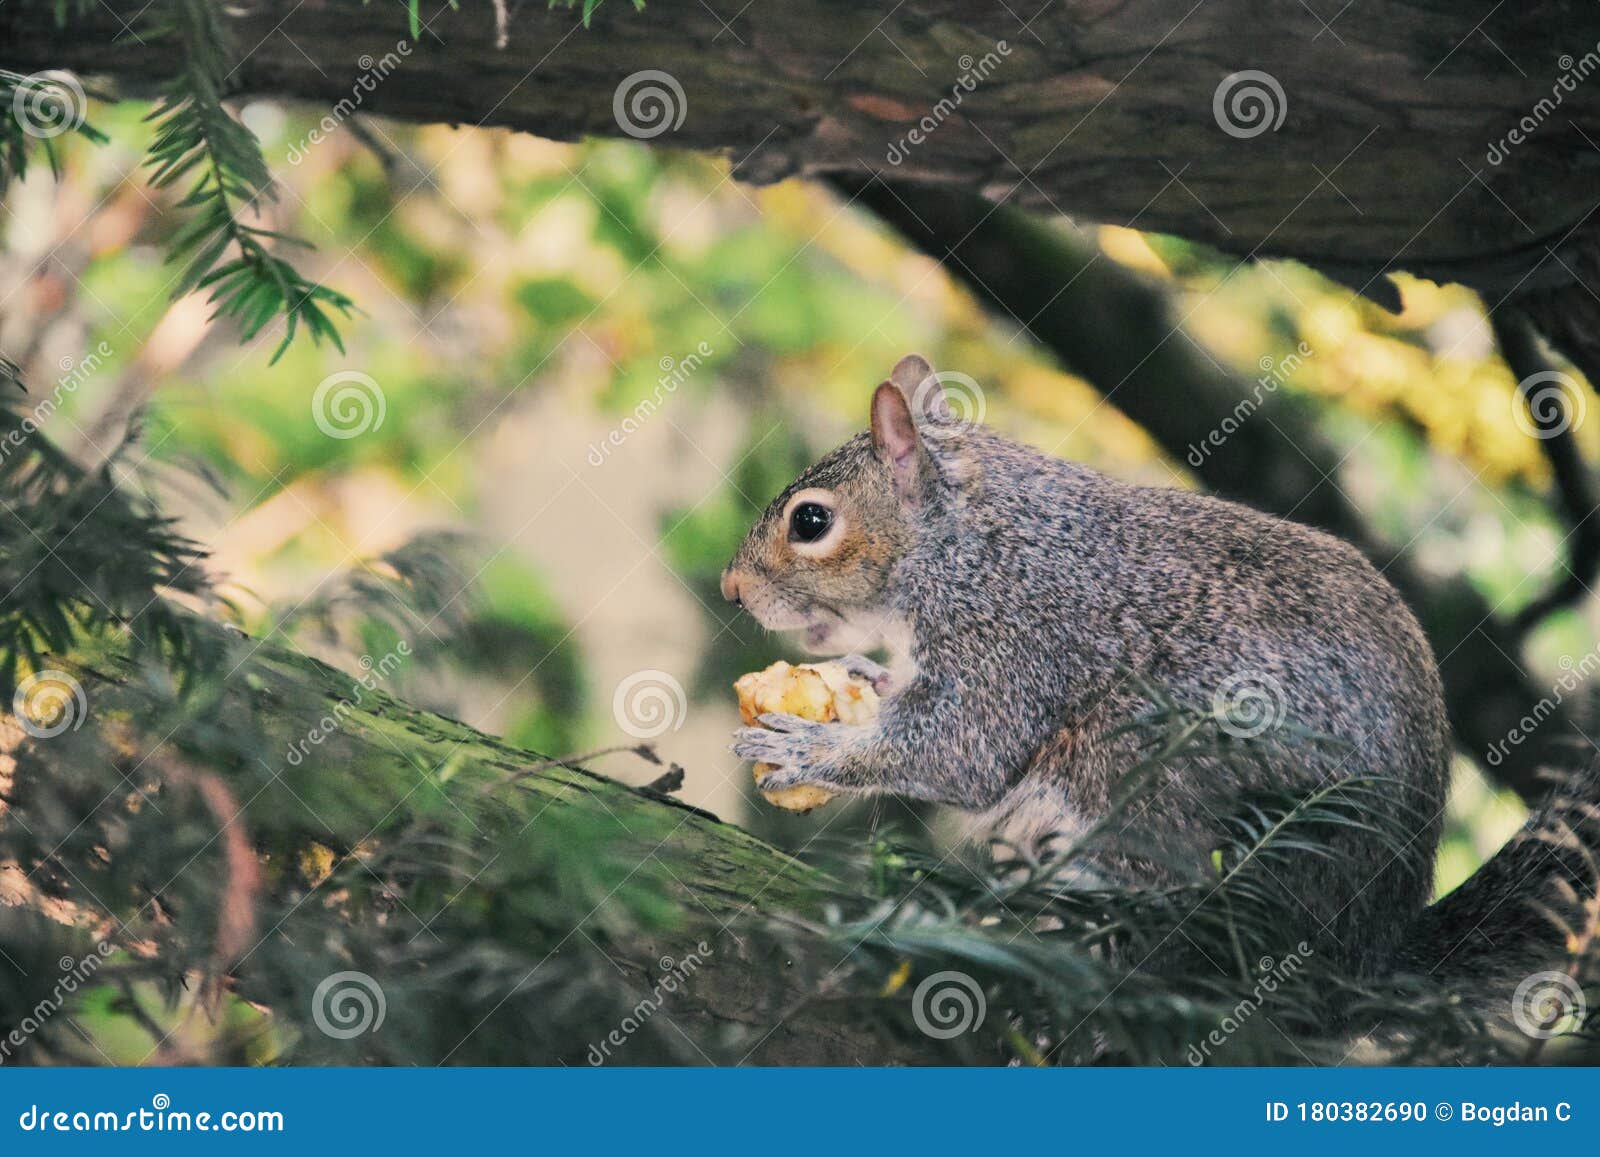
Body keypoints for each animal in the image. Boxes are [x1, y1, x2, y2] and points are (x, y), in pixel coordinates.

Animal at [722, 353, 1520, 980]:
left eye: (812, 522)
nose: (731, 588)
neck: (963, 541)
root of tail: (1370, 940)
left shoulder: (1012, 635)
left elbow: (959, 752)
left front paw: (805, 747)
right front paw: (865, 675)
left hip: (1147, 768)